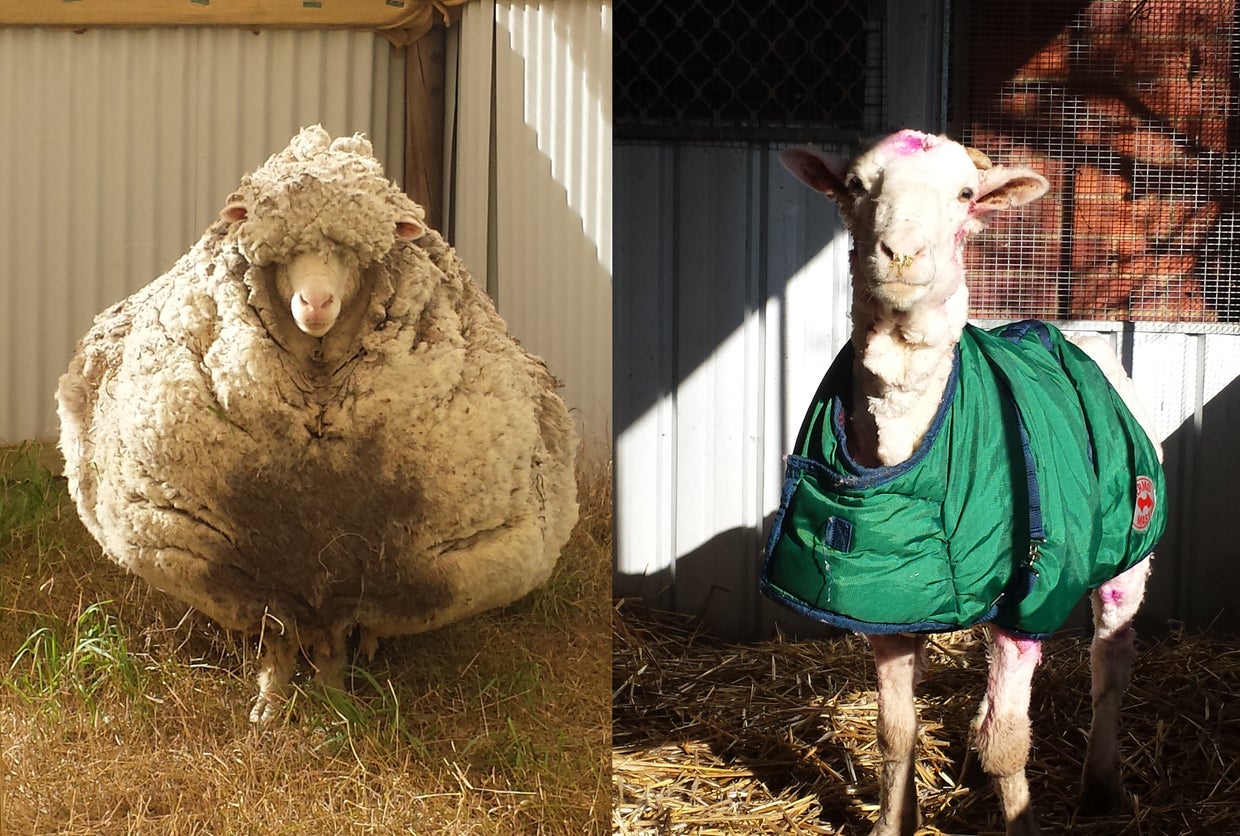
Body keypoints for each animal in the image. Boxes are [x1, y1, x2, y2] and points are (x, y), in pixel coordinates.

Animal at [56, 125, 579, 724]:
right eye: (281, 256)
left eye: (353, 255)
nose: (316, 302)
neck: (319, 387)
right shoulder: (256, 574)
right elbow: (278, 641)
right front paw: (269, 708)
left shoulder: (360, 581)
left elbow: (335, 644)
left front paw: (334, 708)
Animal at [762, 130, 1166, 836]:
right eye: (856, 186)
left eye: (965, 194)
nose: (900, 253)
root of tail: (1063, 328)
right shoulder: (889, 594)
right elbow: (895, 731)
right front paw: (894, 822)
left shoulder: (1031, 597)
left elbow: (1008, 741)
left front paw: (1019, 816)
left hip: (1128, 554)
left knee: (1109, 665)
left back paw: (1100, 785)